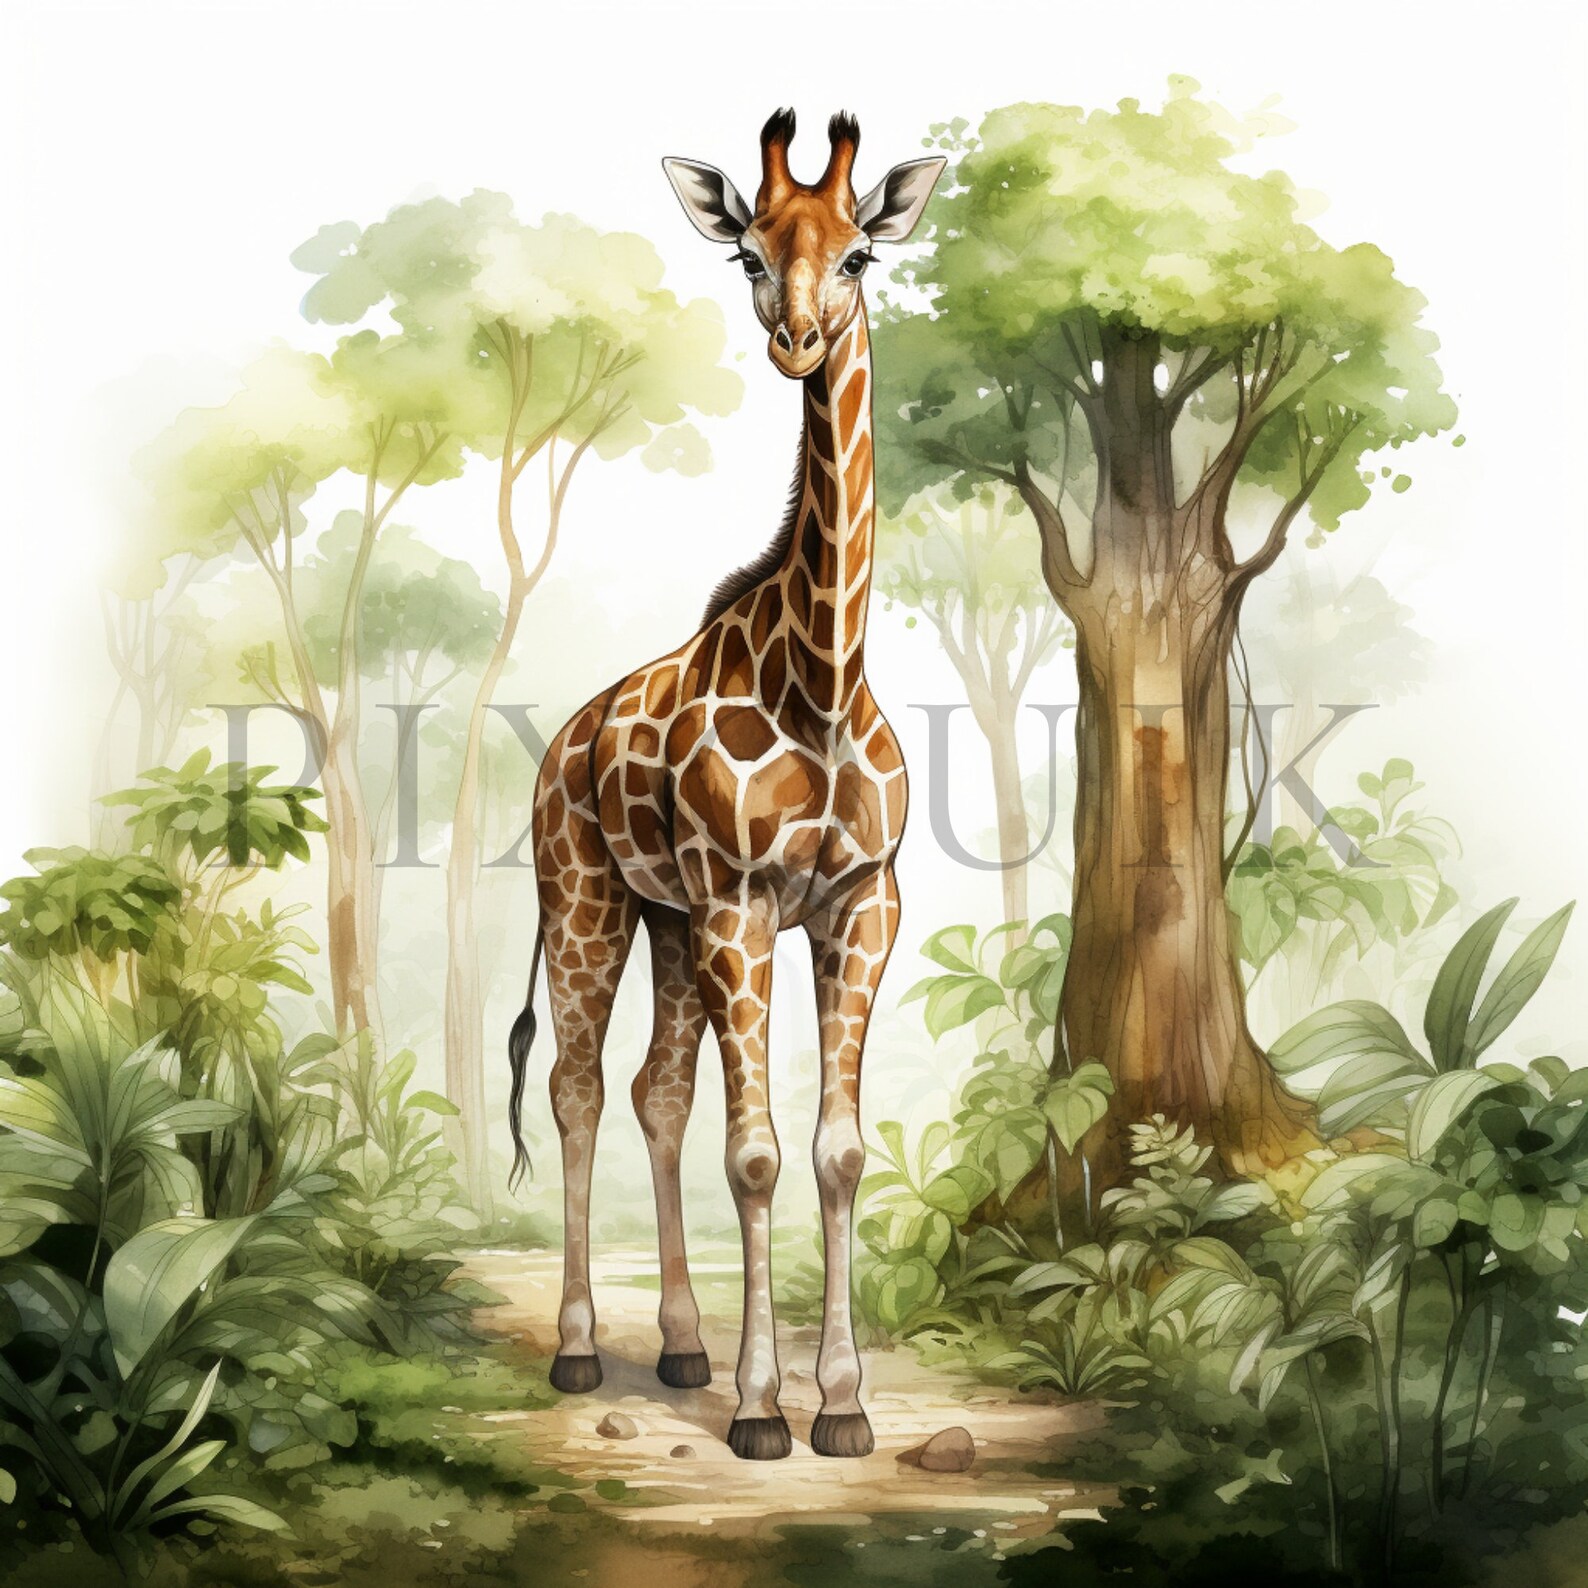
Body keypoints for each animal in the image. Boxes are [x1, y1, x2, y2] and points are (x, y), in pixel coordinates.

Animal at [507, 109, 945, 1461]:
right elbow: (754, 1154)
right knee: (580, 1086)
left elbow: (837, 1152)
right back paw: (581, 1348)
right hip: (591, 903)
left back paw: (683, 1347)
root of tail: (562, 743)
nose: (795, 339)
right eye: (750, 252)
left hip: (667, 920)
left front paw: (840, 1405)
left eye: (858, 254)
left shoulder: (859, 903)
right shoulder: (743, 902)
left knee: (657, 1091)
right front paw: (764, 1413)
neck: (821, 684)